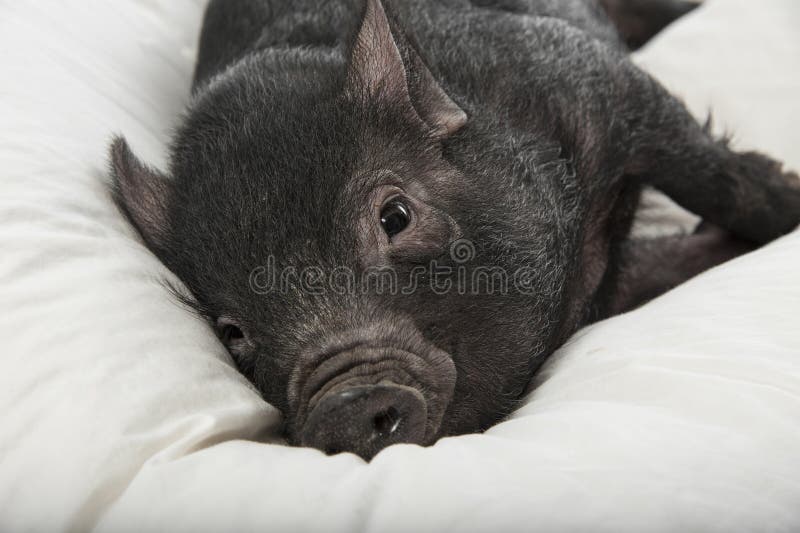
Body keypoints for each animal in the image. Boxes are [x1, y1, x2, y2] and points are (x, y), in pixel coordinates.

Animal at [109, 0, 800, 460]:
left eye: (395, 216)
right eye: (232, 330)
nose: (344, 398)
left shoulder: (596, 79)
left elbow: (716, 177)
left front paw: (786, 201)